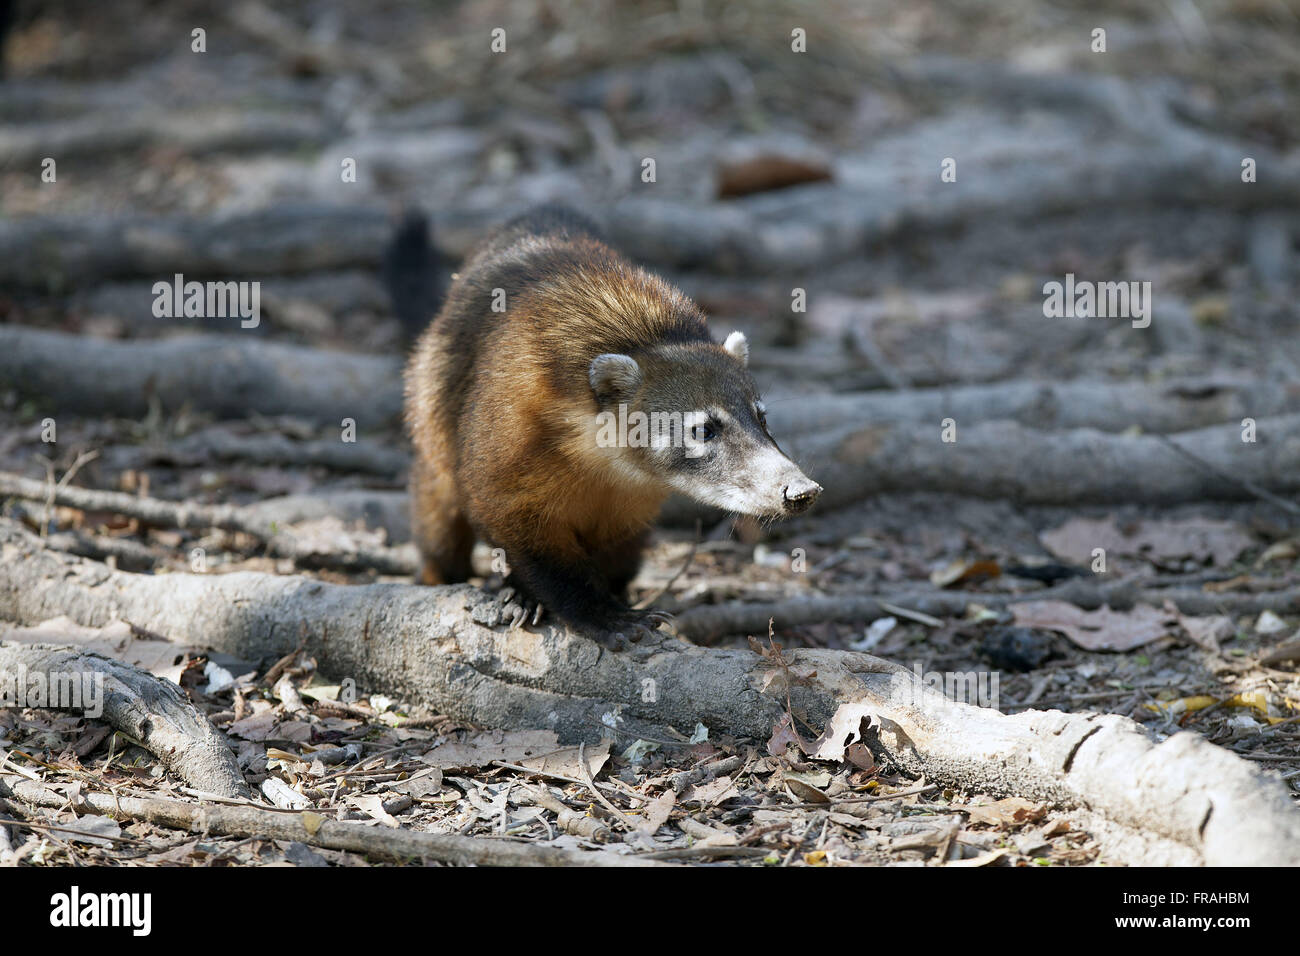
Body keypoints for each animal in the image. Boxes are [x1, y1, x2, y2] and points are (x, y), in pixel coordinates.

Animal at [402, 206, 821, 647]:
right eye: (704, 429)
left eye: (763, 417)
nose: (802, 491)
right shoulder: (503, 446)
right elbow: (529, 545)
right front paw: (599, 613)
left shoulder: (631, 508)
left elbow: (610, 554)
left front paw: (610, 599)